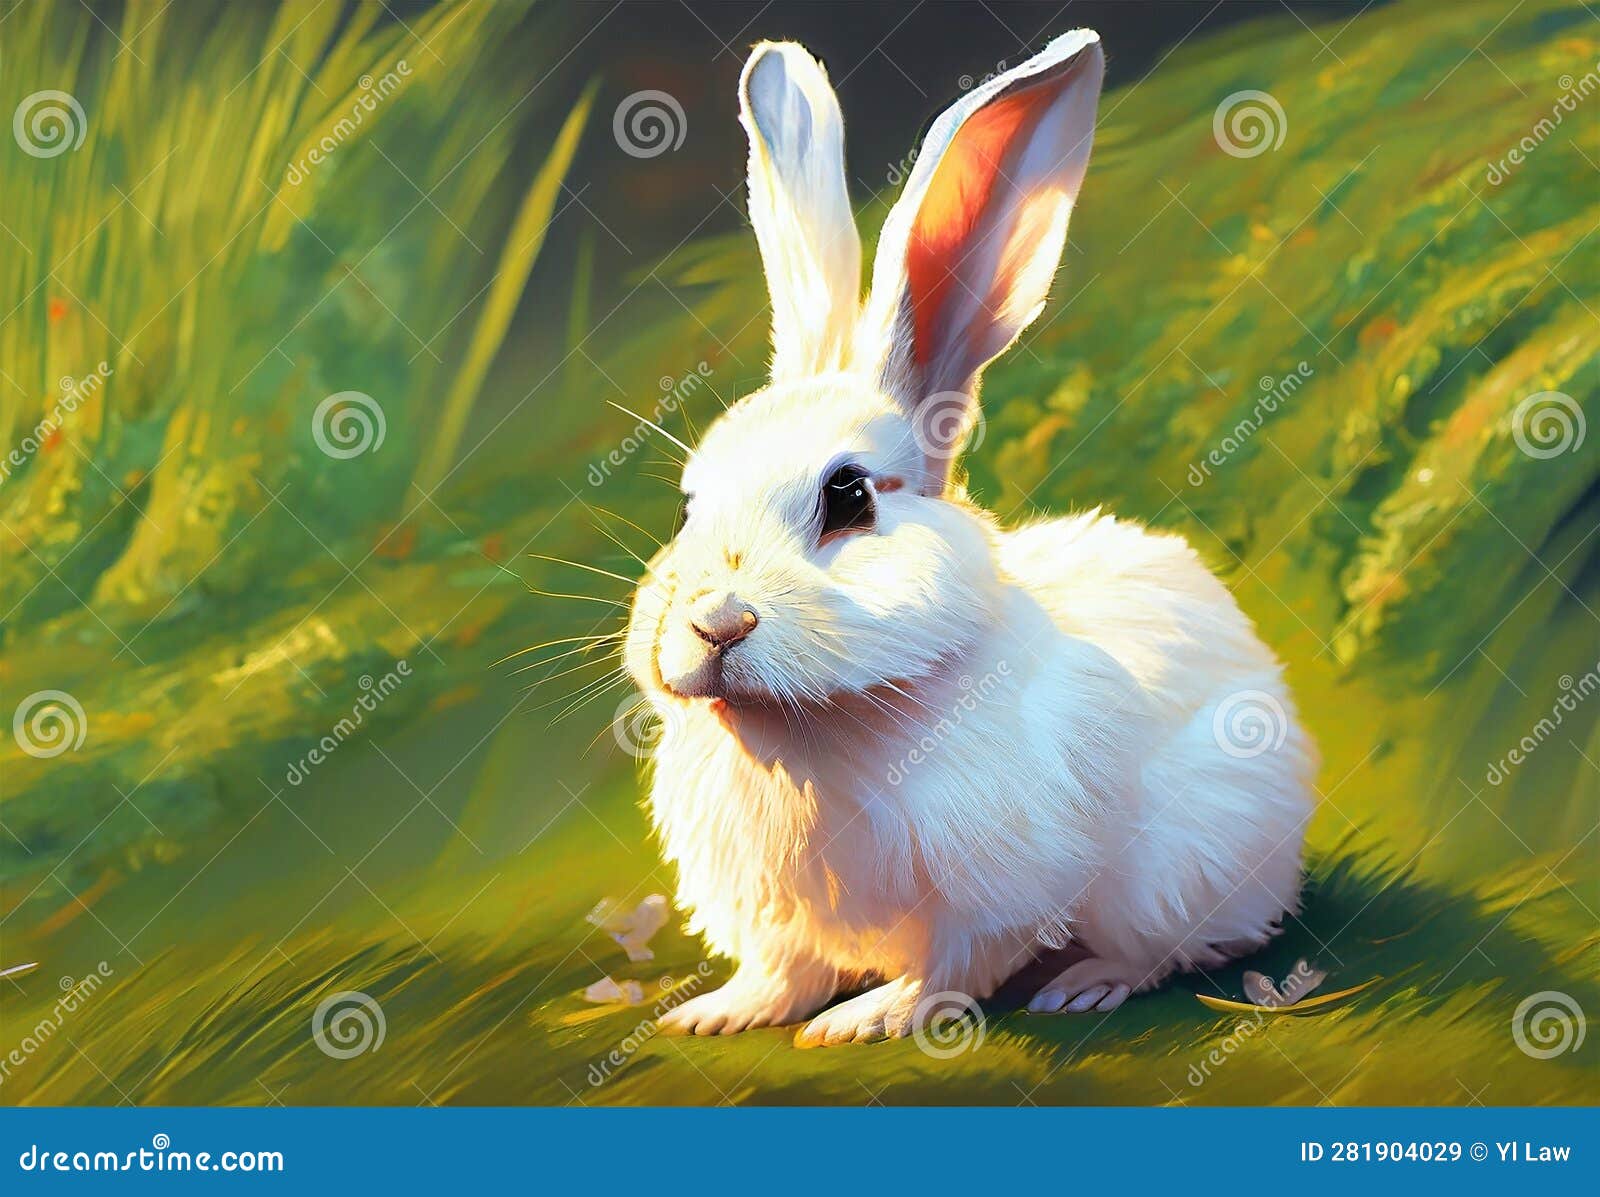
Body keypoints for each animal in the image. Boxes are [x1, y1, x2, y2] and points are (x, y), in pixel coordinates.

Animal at [621, 29, 1317, 1046]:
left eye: (848, 496)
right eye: (684, 508)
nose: (716, 622)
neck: (814, 726)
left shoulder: (994, 890)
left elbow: (951, 967)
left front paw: (862, 1019)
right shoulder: (774, 913)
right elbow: (783, 969)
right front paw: (718, 1013)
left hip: (1184, 858)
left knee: (1170, 945)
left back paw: (1088, 982)